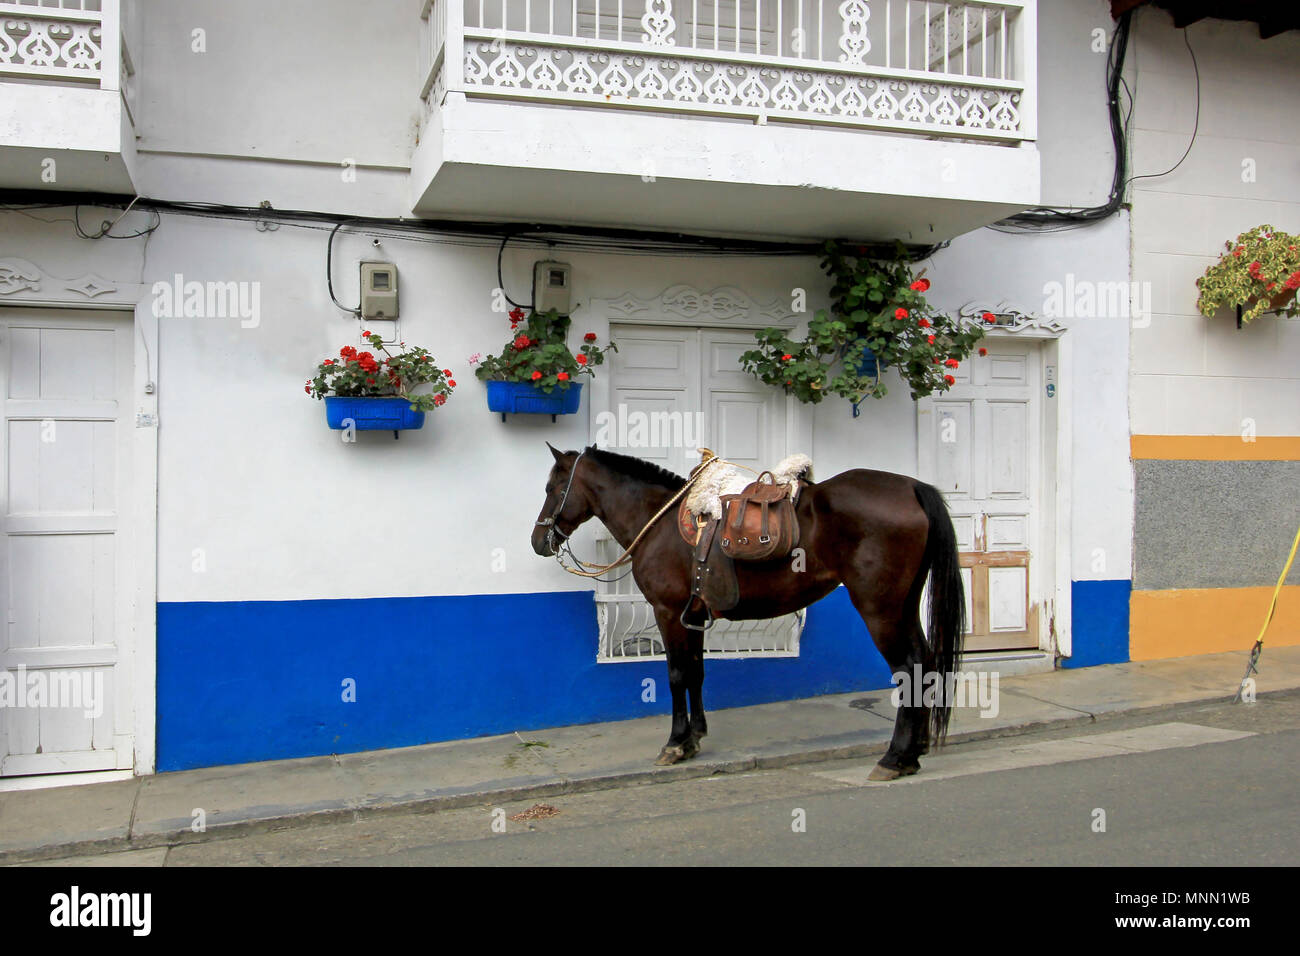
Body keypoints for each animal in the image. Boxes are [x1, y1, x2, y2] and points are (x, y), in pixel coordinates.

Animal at [532, 444, 966, 781]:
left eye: (554, 488)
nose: (539, 540)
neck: (658, 522)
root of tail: (911, 487)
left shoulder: (668, 613)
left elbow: (676, 675)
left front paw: (675, 743)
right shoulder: (694, 615)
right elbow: (696, 672)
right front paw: (694, 738)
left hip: (880, 608)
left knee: (907, 667)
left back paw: (894, 758)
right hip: (904, 604)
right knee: (924, 664)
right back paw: (913, 752)